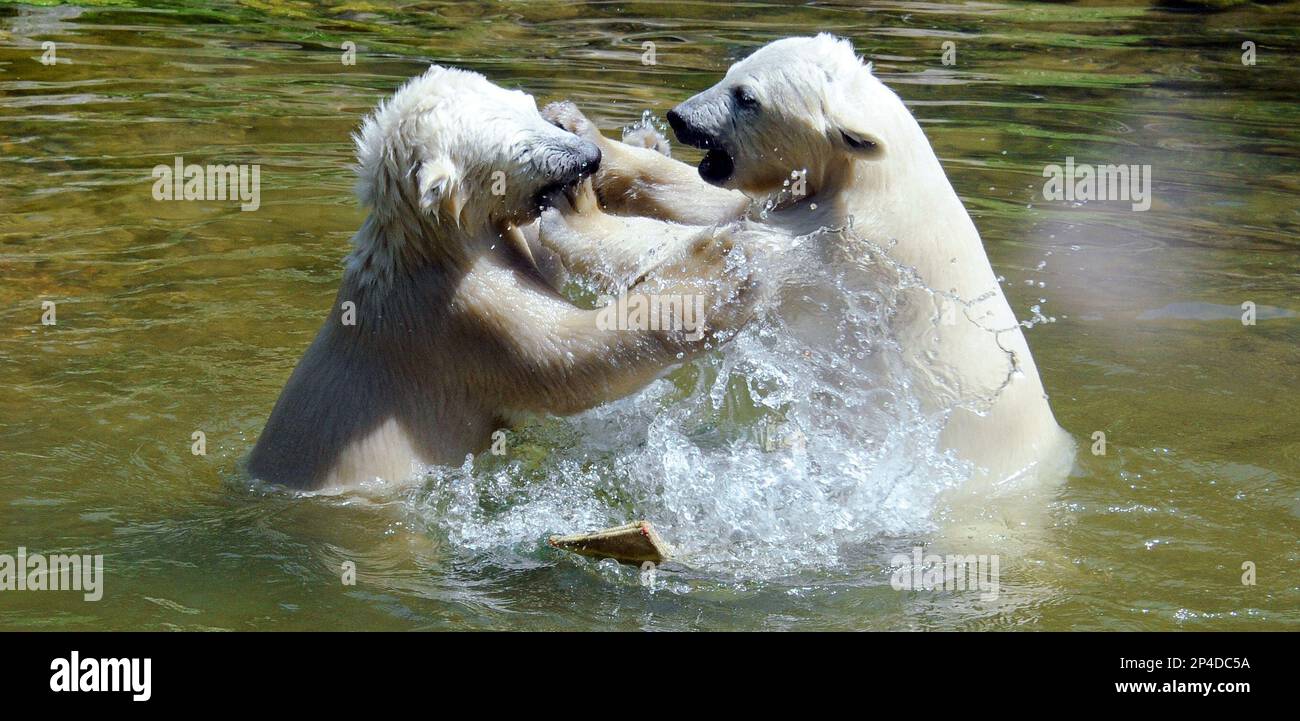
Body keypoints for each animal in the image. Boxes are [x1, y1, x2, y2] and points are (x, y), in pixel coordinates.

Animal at [246, 66, 755, 492]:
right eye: (522, 149)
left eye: (530, 106)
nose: (589, 159)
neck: (425, 245)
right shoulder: (460, 318)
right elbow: (569, 358)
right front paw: (714, 271)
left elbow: (541, 255)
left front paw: (638, 144)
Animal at [538, 35, 1075, 495]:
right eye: (731, 71)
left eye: (746, 97)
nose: (679, 117)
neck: (874, 180)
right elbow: (716, 203)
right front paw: (580, 129)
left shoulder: (838, 256)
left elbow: (721, 249)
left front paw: (576, 214)